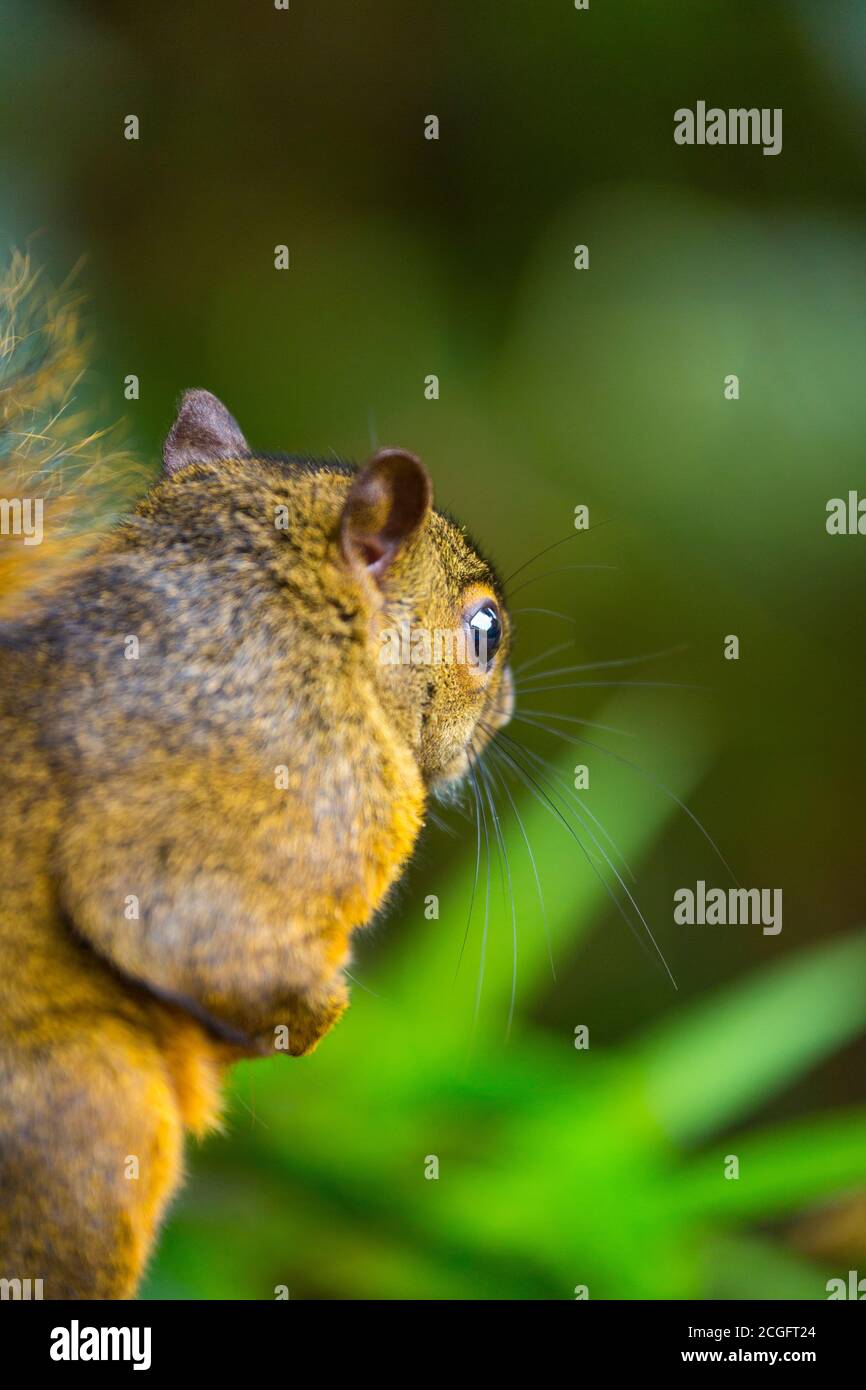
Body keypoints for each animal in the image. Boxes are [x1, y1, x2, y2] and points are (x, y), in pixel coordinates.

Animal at [0, 257, 513, 1299]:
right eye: (484, 631)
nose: (514, 699)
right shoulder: (307, 778)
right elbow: (178, 925)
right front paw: (312, 1017)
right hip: (86, 1125)